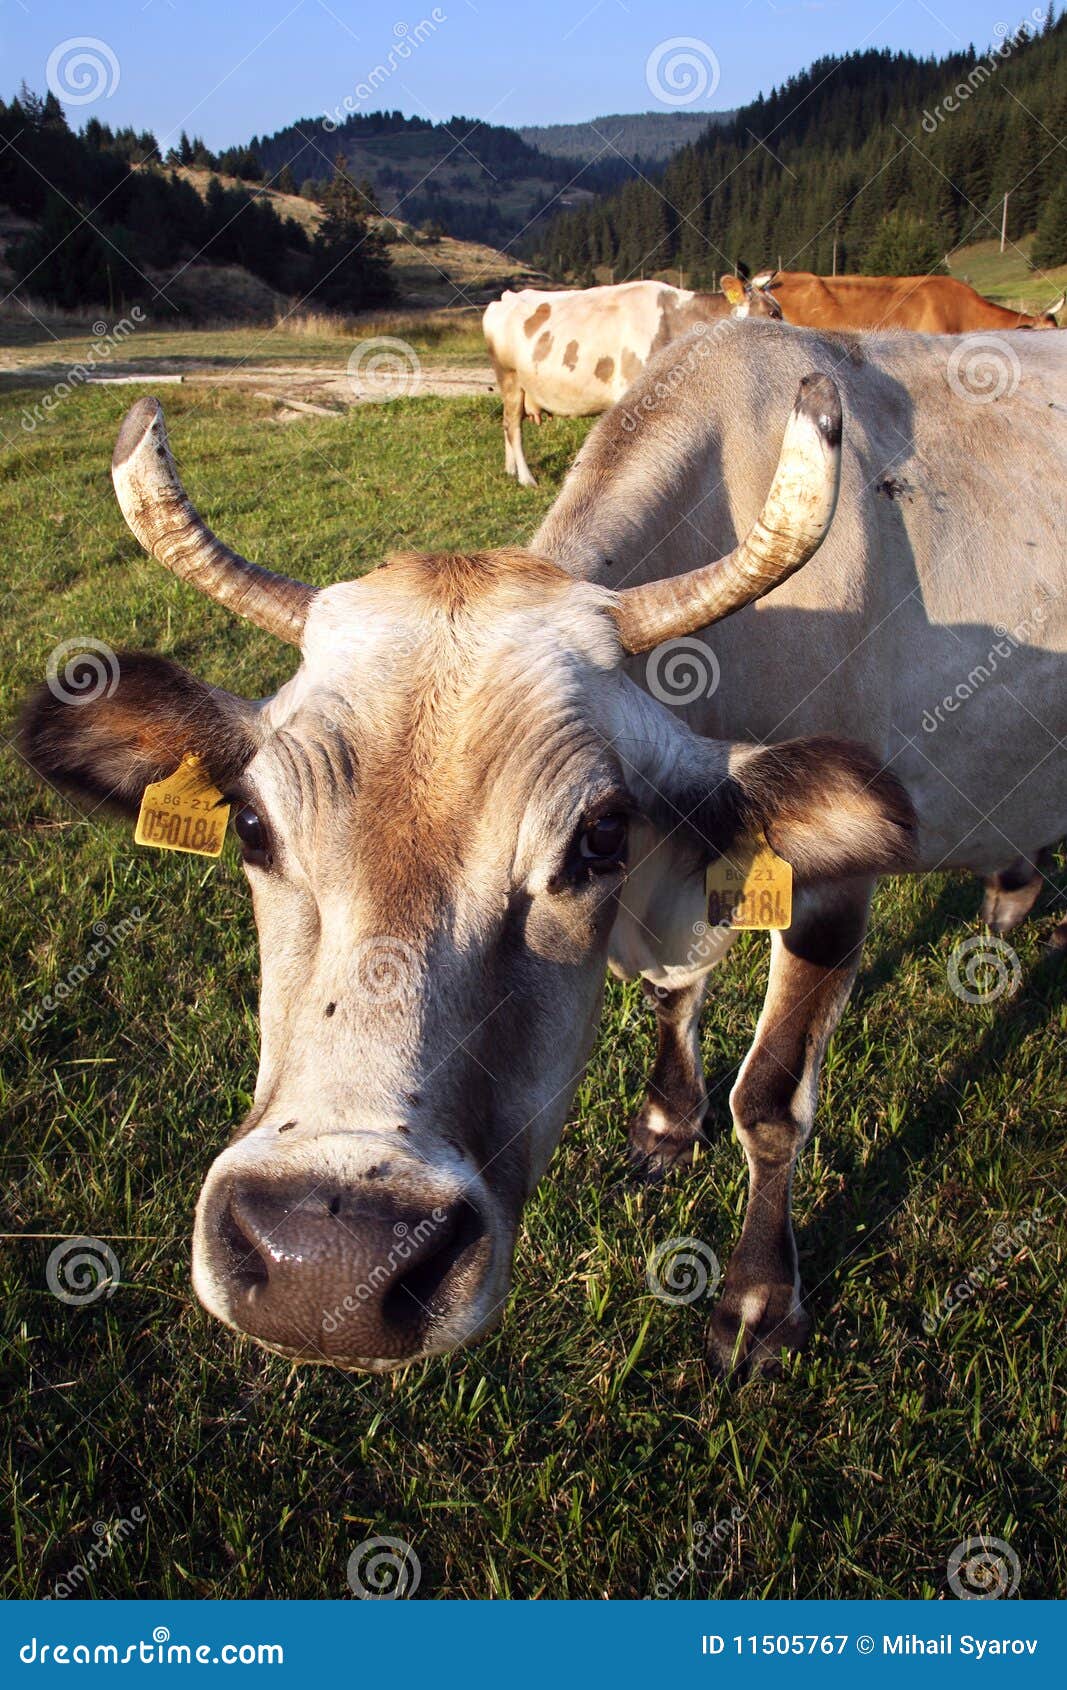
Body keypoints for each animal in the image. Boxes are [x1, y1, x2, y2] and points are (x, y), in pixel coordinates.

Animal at [21, 317, 1065, 1382]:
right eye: (251, 825)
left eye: (597, 834)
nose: (326, 1261)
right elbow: (673, 993)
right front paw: (664, 1126)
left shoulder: (824, 890)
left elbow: (770, 1103)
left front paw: (755, 1305)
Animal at [482, 278, 781, 486]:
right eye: (773, 313)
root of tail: (507, 296)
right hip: (509, 376)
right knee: (512, 426)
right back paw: (526, 478)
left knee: (508, 424)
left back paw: (510, 469)